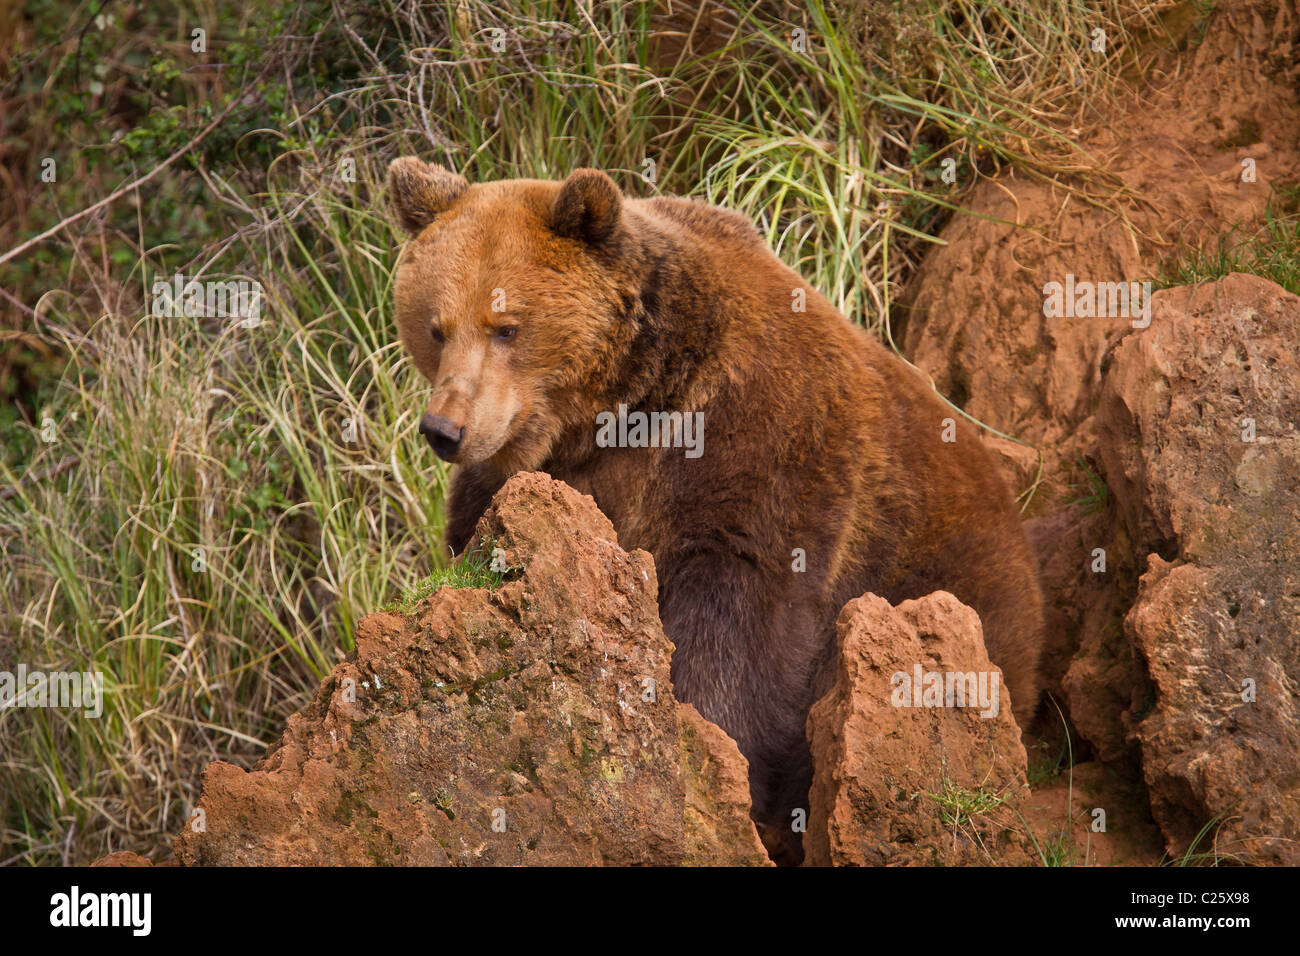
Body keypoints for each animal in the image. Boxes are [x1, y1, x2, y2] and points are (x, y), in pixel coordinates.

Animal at [387, 157, 1046, 864]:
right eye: (436, 327)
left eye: (506, 327)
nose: (444, 429)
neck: (625, 404)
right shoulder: (536, 472)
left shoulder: (758, 440)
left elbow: (740, 614)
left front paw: (711, 755)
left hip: (949, 589)